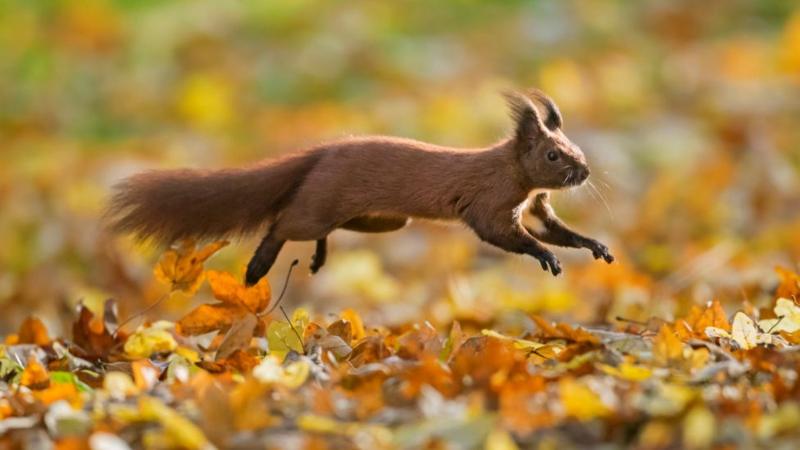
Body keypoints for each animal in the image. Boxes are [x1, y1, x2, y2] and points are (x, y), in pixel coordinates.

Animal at [107, 88, 614, 286]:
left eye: (572, 145)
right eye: (553, 155)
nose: (585, 172)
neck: (513, 173)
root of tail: (322, 153)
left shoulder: (534, 204)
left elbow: (555, 230)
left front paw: (594, 246)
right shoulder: (490, 201)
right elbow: (502, 233)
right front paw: (545, 256)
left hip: (382, 219)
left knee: (324, 227)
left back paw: (319, 256)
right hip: (323, 205)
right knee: (283, 221)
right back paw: (258, 266)